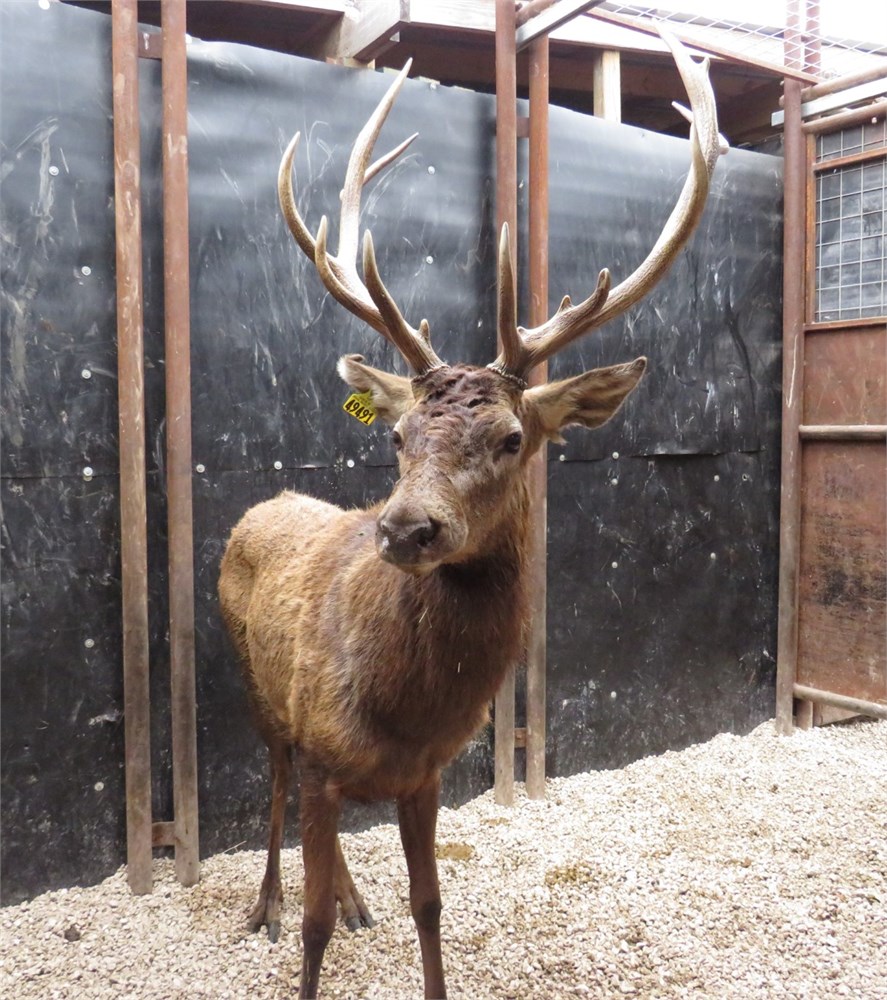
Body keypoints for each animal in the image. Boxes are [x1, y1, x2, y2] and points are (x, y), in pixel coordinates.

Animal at [218, 30, 724, 1000]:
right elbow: (310, 927)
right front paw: (300, 922)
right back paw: (261, 904)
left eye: (512, 436)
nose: (405, 529)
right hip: (255, 685)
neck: (401, 709)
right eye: (398, 434)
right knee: (272, 780)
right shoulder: (322, 753)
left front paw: (386, 916)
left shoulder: (425, 779)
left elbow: (429, 906)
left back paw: (355, 896)